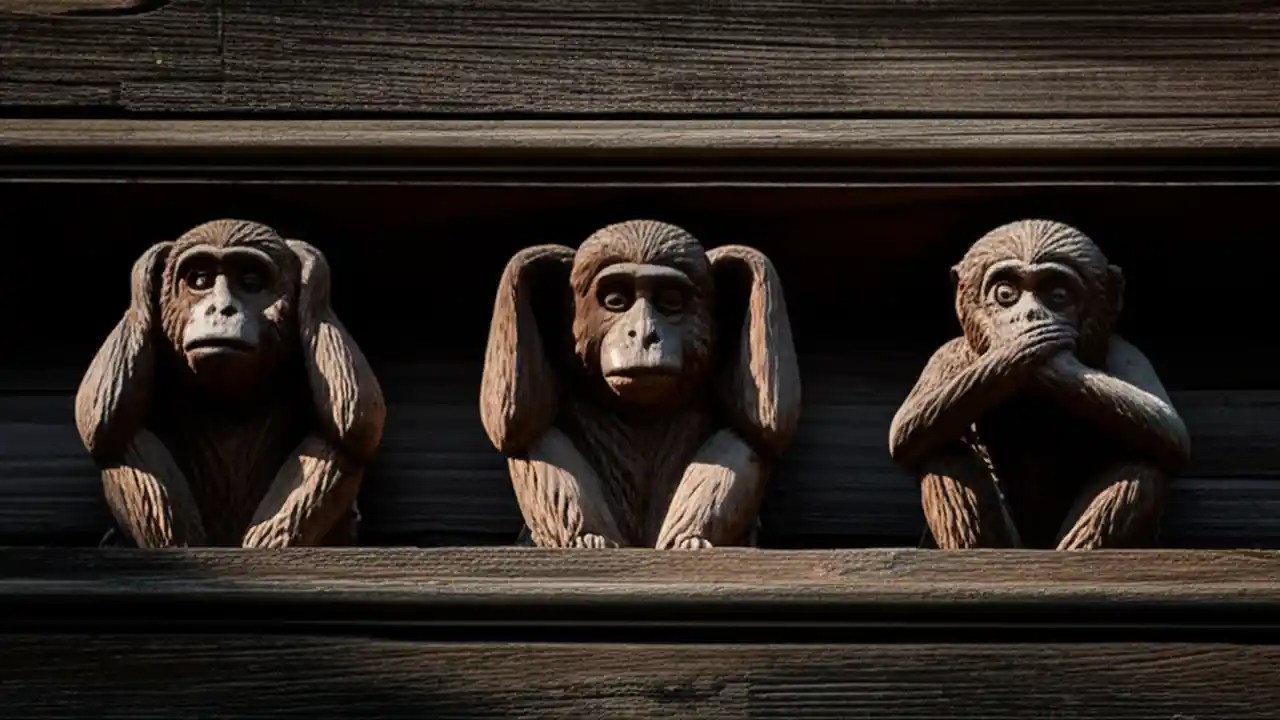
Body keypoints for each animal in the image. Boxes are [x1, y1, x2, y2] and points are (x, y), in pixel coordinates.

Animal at [74, 219, 385, 548]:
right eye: (200, 280)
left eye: (250, 282)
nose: (222, 308)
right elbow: (97, 415)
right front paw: (149, 262)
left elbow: (358, 416)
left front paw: (310, 262)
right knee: (118, 435)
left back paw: (268, 542)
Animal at [479, 219, 802, 549]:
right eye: (615, 301)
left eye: (670, 302)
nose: (644, 333)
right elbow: (514, 417)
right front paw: (534, 259)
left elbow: (771, 419)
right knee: (536, 436)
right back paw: (589, 538)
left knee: (744, 439)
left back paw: (688, 539)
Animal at [888, 219, 1191, 550]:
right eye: (1005, 293)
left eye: (1058, 295)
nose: (1029, 314)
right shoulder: (947, 353)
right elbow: (905, 426)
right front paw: (1018, 348)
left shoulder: (1125, 351)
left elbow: (1170, 427)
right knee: (941, 450)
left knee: (1144, 457)